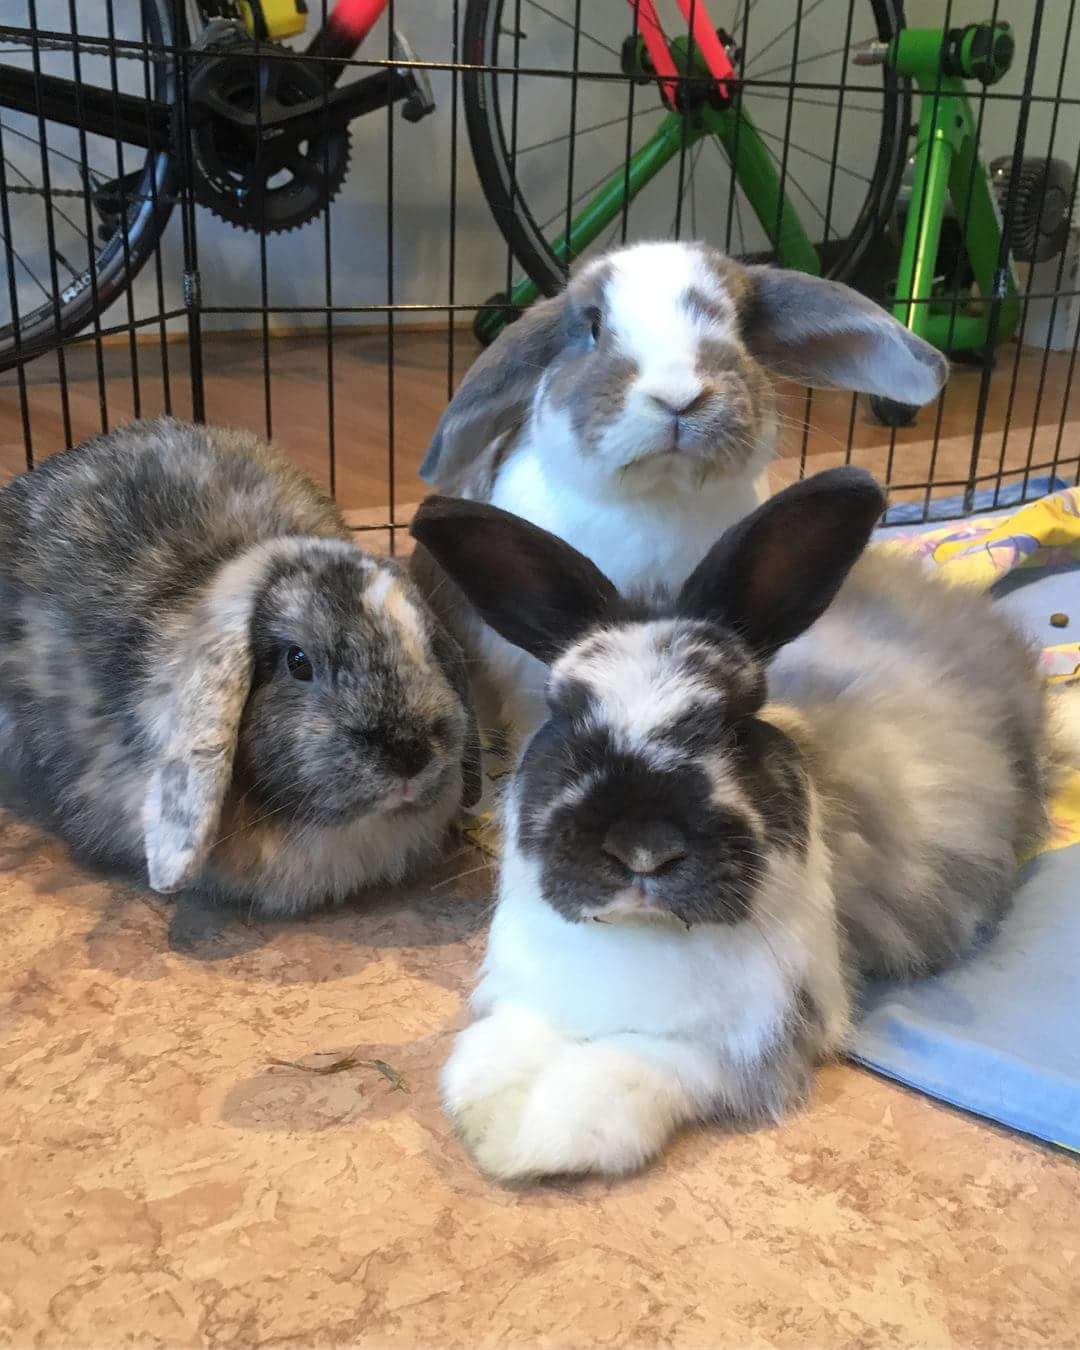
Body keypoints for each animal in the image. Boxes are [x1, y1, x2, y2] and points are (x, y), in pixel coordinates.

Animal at [409, 468, 1060, 1183]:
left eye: (735, 723)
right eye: (567, 715)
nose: (643, 849)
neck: (644, 932)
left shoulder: (734, 1043)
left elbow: (621, 1072)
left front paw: (534, 1134)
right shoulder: (532, 990)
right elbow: (507, 1043)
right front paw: (489, 1110)